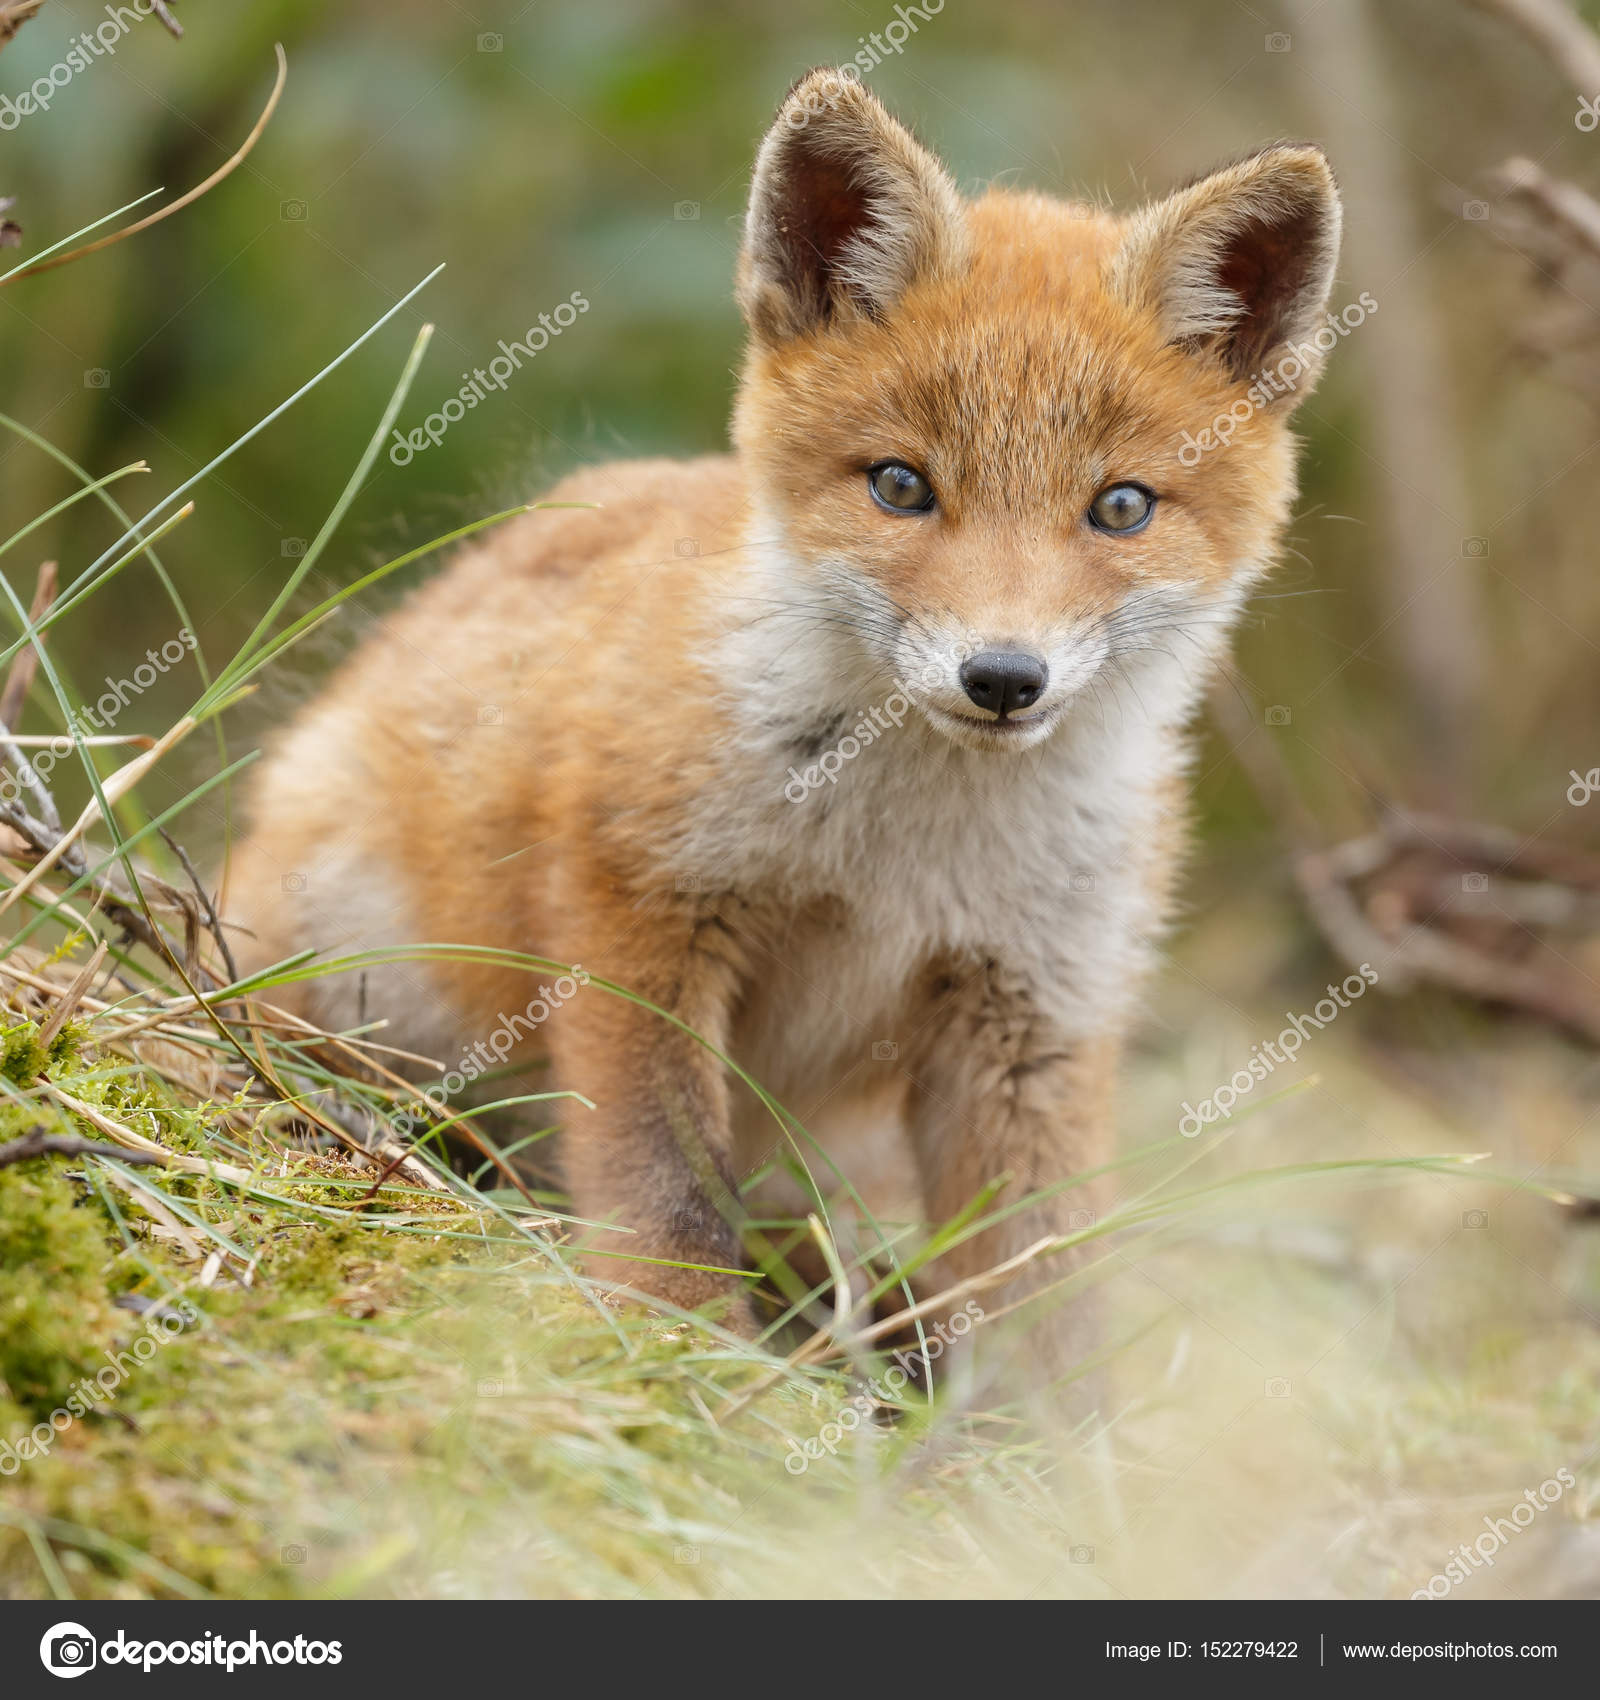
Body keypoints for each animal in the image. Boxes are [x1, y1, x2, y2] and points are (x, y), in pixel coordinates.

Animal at [223, 68, 1343, 1394]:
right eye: (901, 486)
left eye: (1119, 507)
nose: (1001, 677)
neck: (903, 856)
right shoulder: (636, 908)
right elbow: (666, 1188)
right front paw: (681, 1365)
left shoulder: (1035, 1009)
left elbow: (1039, 1287)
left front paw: (1036, 1447)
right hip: (357, 965)